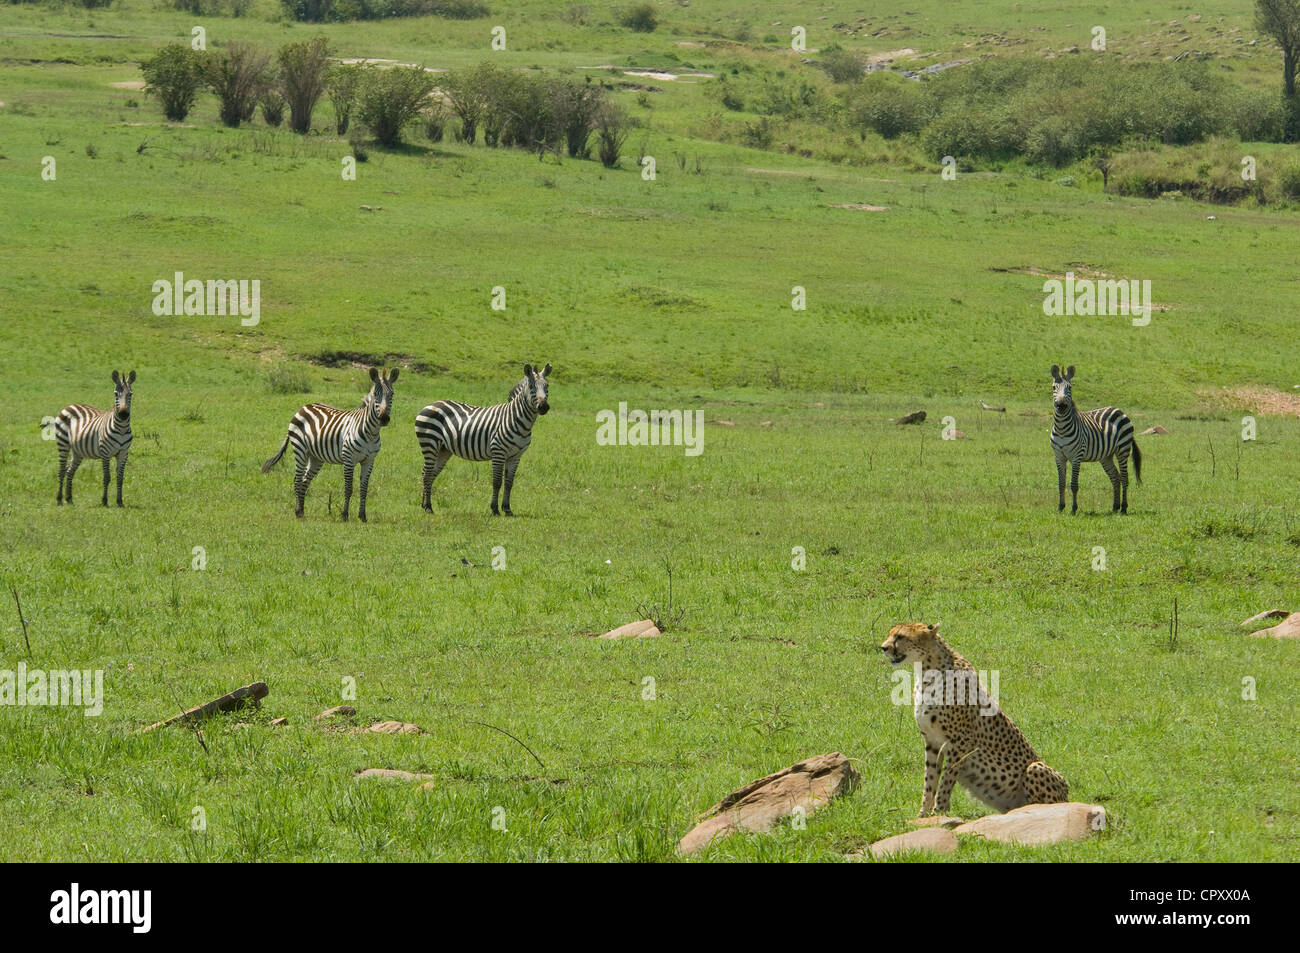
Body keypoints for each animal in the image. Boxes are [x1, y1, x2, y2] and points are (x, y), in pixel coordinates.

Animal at [55, 370, 136, 507]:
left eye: (130, 394)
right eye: (115, 394)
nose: (123, 414)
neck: (121, 429)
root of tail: (72, 404)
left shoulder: (124, 453)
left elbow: (120, 478)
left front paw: (120, 502)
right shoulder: (105, 452)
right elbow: (107, 477)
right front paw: (104, 501)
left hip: (78, 451)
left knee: (69, 471)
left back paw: (69, 499)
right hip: (63, 444)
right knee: (61, 471)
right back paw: (59, 499)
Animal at [261, 367, 398, 522]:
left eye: (391, 394)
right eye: (376, 394)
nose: (384, 418)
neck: (371, 433)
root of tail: (304, 406)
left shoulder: (369, 461)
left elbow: (364, 489)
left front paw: (363, 516)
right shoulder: (349, 459)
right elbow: (348, 488)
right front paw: (344, 515)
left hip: (315, 457)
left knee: (304, 480)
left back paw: (302, 511)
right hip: (300, 449)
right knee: (297, 479)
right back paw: (297, 512)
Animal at [415, 363, 552, 516]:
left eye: (547, 386)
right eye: (531, 387)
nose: (544, 407)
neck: (517, 419)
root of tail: (431, 404)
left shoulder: (516, 456)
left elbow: (509, 483)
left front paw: (507, 509)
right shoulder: (498, 452)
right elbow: (497, 482)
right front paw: (495, 509)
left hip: (443, 450)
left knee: (429, 473)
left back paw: (424, 504)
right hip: (429, 444)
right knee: (427, 474)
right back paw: (428, 507)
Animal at [881, 621, 1069, 818]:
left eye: (900, 637)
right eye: (891, 634)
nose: (883, 648)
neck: (925, 671)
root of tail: (1067, 796)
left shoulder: (960, 742)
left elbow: (947, 779)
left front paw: (940, 811)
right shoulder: (932, 741)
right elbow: (930, 780)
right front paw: (923, 814)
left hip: (1036, 768)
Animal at [1050, 364, 1141, 514]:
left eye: (1070, 387)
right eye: (1053, 387)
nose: (1061, 405)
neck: (1062, 428)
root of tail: (1118, 409)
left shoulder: (1076, 457)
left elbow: (1073, 484)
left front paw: (1073, 509)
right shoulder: (1059, 457)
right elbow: (1061, 483)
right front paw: (1060, 507)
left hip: (1122, 449)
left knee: (1124, 477)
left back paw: (1123, 508)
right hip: (1106, 456)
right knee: (1115, 477)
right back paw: (1115, 507)